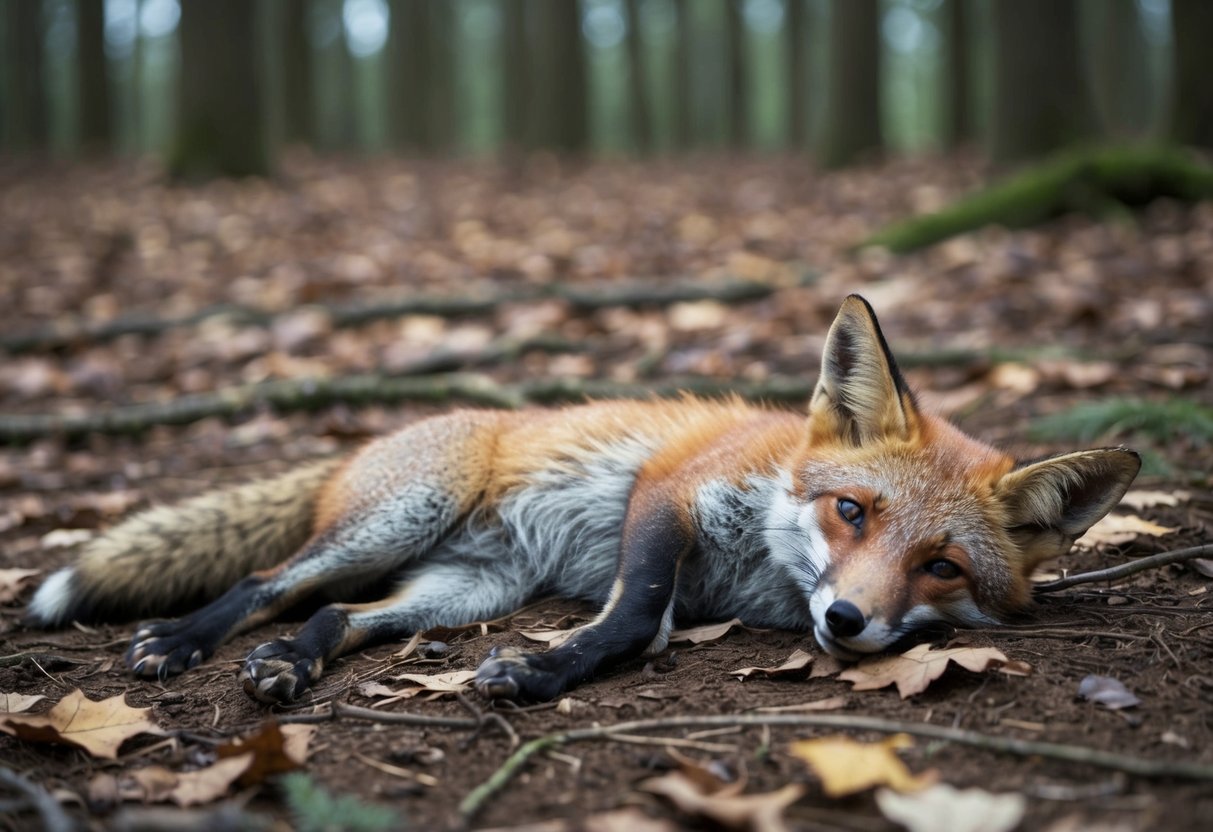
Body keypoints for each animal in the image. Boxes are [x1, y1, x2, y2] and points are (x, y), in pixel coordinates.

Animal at [24, 296, 1140, 704]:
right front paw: (543, 670)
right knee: (265, 581)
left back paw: (289, 664)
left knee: (339, 615)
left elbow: (643, 621)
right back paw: (184, 643)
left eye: (940, 565)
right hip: (400, 518)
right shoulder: (669, 491)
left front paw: (545, 668)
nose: (845, 620)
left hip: (468, 589)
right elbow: (636, 611)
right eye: (852, 512)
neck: (767, 563)